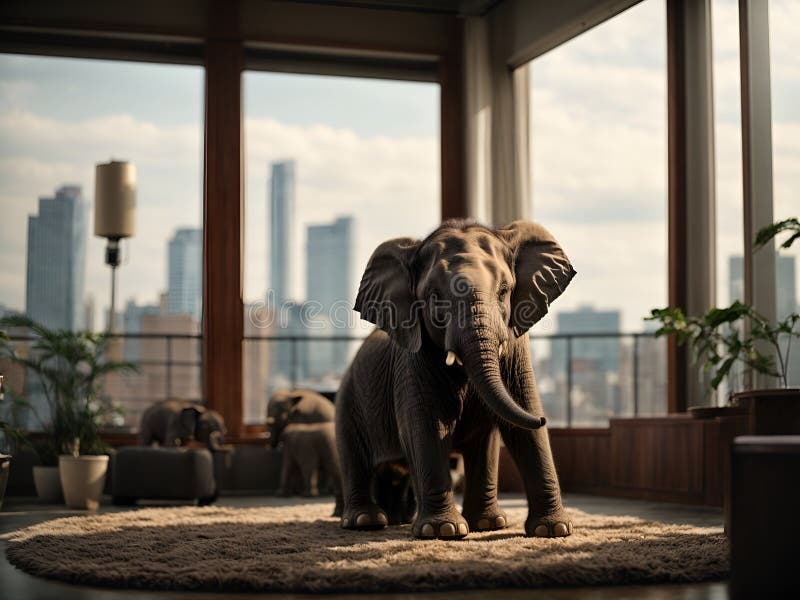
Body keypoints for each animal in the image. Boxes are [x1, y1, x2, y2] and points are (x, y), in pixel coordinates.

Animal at [336, 219, 576, 540]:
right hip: (348, 402)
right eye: (434, 297)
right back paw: (367, 521)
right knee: (355, 459)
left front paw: (552, 529)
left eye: (504, 291)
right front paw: (444, 530)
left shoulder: (516, 345)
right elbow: (427, 425)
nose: (546, 418)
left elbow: (521, 424)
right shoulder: (413, 357)